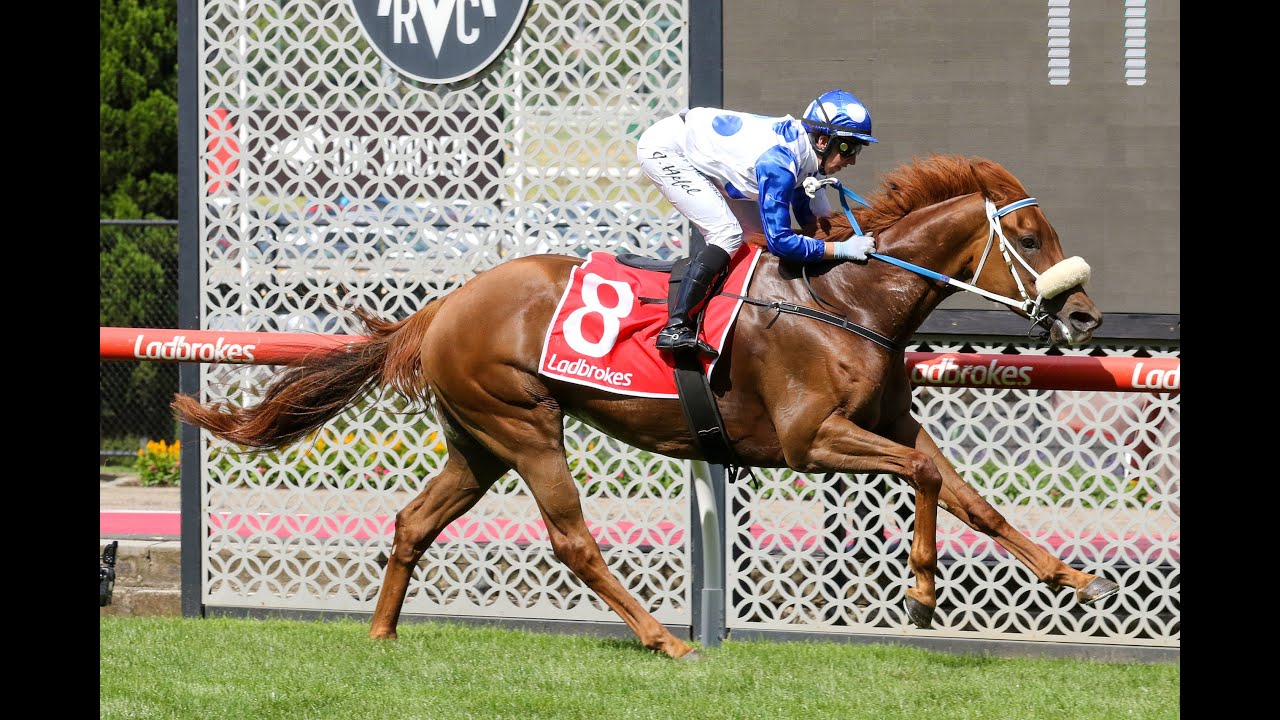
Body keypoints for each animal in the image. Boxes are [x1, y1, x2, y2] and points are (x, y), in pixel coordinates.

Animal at [173, 154, 1119, 660]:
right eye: (1027, 238)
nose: (1084, 316)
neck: (847, 298)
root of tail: (443, 304)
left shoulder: (885, 422)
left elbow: (969, 495)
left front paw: (1069, 575)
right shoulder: (810, 440)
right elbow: (924, 473)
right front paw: (922, 591)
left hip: (476, 442)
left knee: (413, 521)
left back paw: (380, 635)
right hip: (524, 425)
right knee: (572, 541)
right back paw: (664, 638)